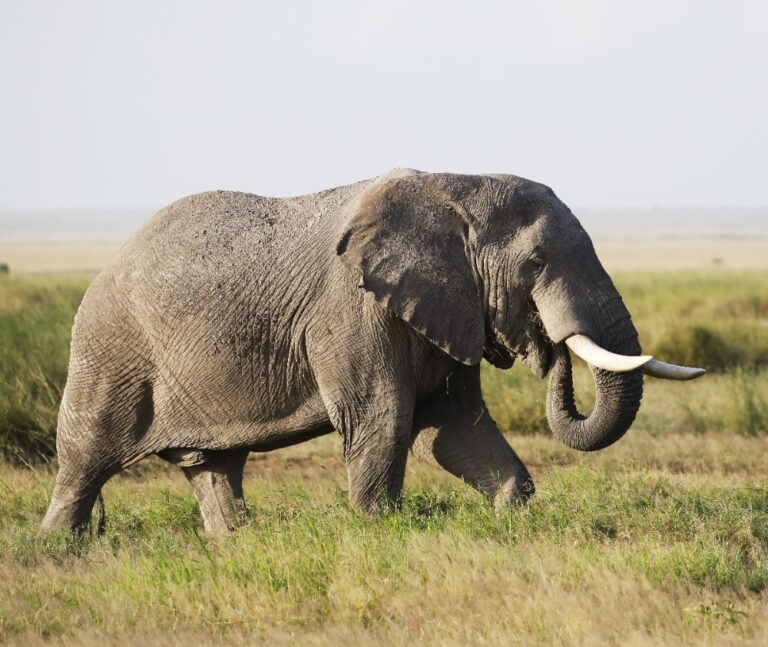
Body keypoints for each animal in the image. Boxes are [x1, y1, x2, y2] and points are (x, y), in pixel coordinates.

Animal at [42, 169, 704, 533]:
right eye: (536, 264)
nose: (550, 347)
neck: (453, 187)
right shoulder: (352, 310)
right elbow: (384, 421)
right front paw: (376, 531)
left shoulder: (444, 305)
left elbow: (456, 430)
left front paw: (513, 519)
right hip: (109, 346)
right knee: (83, 457)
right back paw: (59, 548)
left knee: (214, 467)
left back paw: (235, 545)